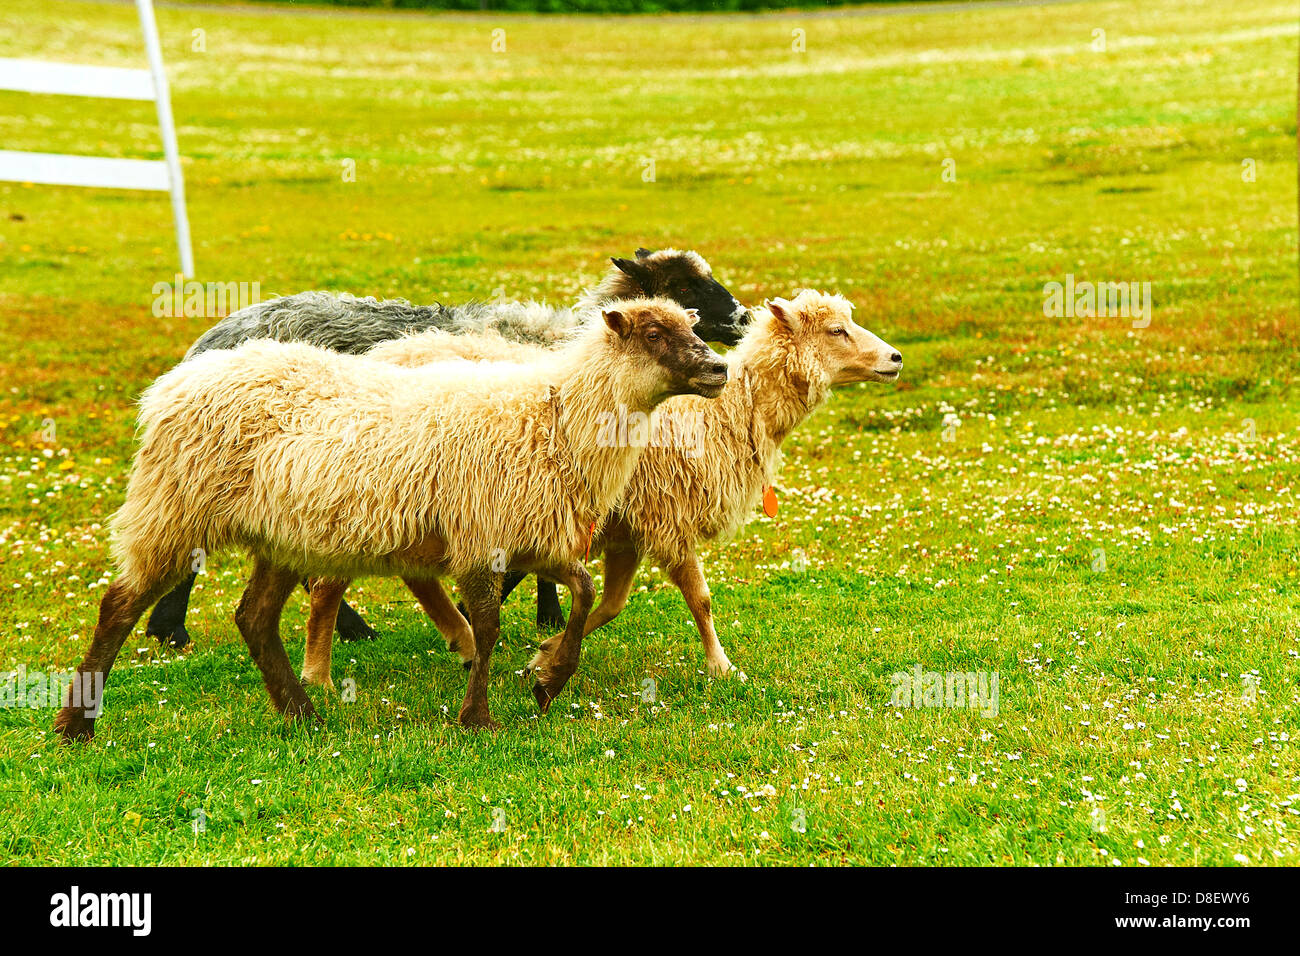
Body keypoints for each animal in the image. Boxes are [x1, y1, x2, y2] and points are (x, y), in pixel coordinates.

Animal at [54, 299, 729, 741]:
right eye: (654, 332)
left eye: (690, 325)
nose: (720, 369)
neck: (552, 413)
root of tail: (175, 380)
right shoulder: (480, 537)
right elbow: (487, 628)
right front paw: (479, 717)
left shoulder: (531, 534)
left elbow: (584, 595)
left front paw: (547, 677)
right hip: (174, 507)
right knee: (120, 604)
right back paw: (76, 723)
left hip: (278, 533)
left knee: (254, 617)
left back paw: (302, 713)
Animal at [144, 247, 750, 651]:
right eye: (686, 291)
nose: (744, 317)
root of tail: (211, 339)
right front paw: (482, 615)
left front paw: (546, 617)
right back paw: (175, 628)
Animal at [300, 290, 902, 683]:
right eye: (836, 330)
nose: (895, 358)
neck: (728, 412)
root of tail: (383, 352)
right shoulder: (665, 515)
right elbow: (701, 599)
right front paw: (722, 665)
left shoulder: (625, 530)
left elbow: (611, 605)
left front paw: (544, 654)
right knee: (333, 580)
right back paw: (321, 672)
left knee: (416, 575)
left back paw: (461, 640)